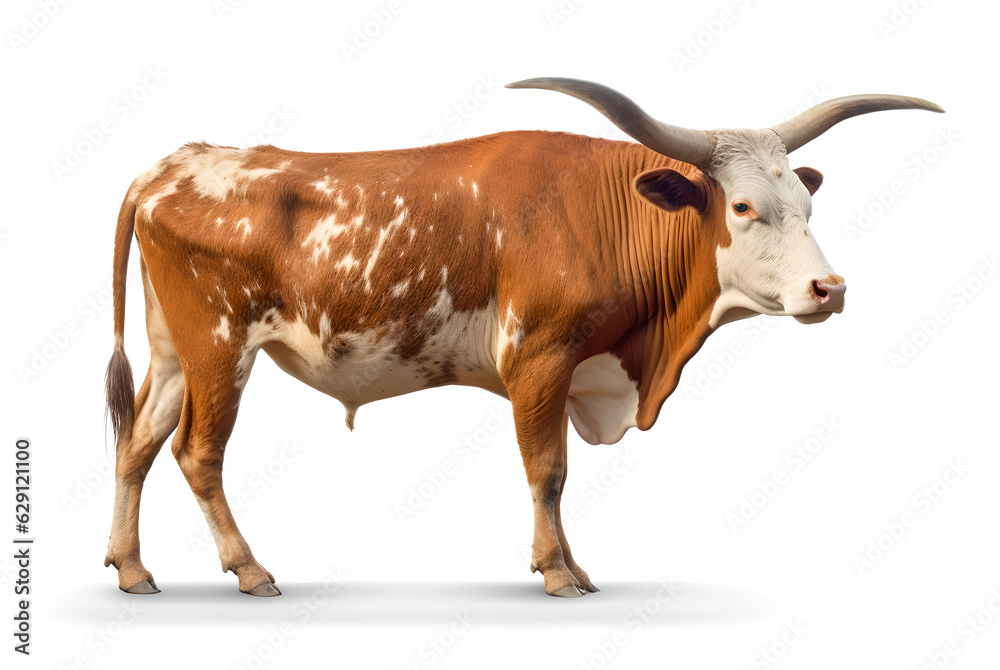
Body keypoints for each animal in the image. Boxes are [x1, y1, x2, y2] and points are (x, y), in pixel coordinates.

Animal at [104, 78, 942, 597]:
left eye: (807, 201)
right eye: (741, 207)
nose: (830, 289)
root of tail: (169, 166)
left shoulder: (574, 368)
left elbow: (557, 471)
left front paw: (572, 564)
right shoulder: (539, 357)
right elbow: (548, 471)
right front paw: (558, 572)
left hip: (173, 351)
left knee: (136, 443)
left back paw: (132, 569)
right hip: (219, 346)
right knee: (196, 453)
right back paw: (250, 570)